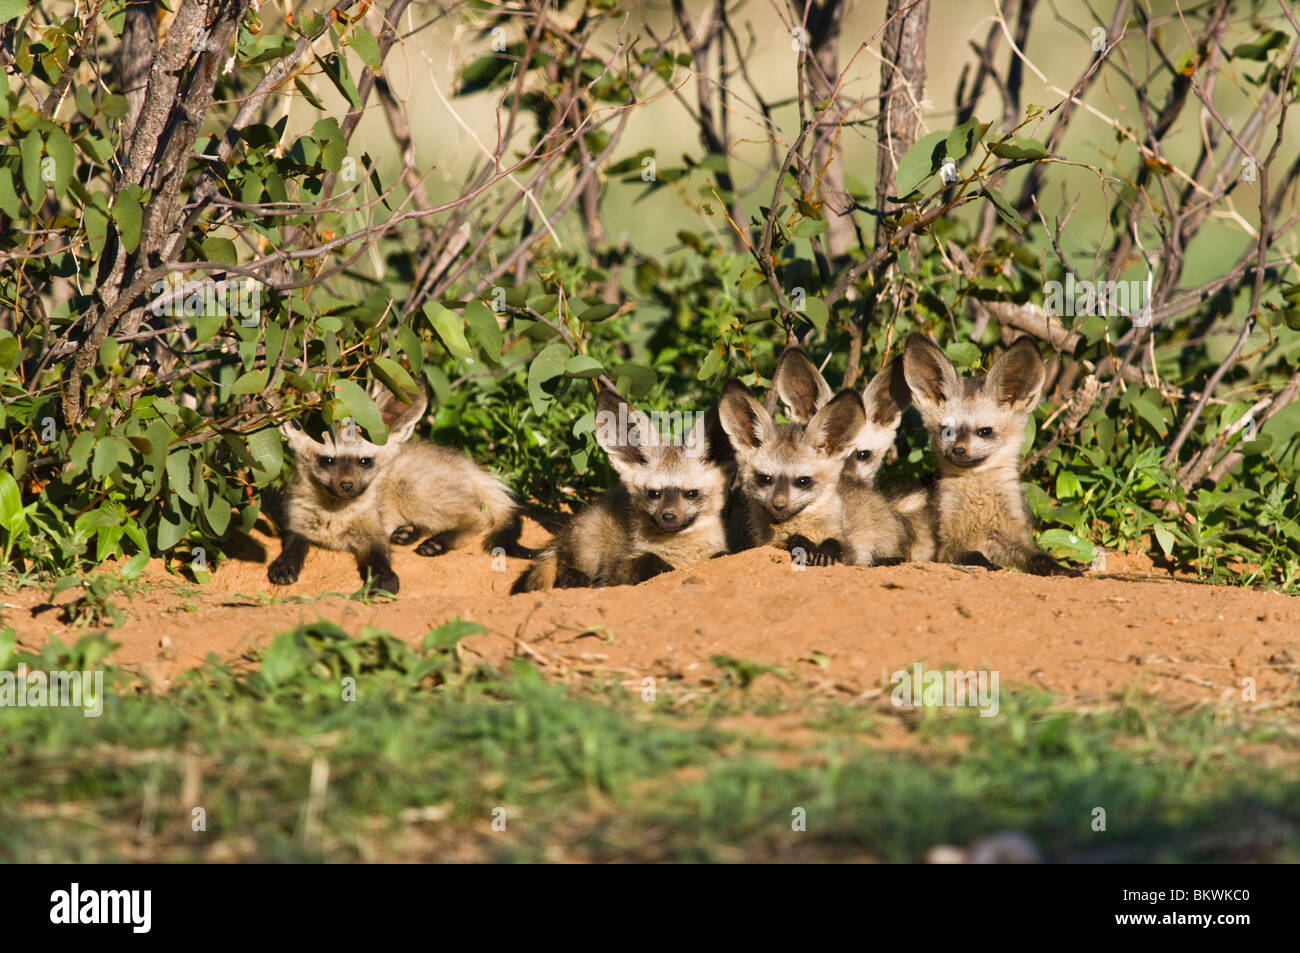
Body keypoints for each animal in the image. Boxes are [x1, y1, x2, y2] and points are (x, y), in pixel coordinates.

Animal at [269, 384, 531, 594]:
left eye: (364, 461)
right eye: (328, 460)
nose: (347, 485)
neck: (334, 518)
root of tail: (466, 463)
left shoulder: (373, 533)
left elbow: (380, 557)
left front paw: (384, 579)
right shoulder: (296, 524)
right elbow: (293, 546)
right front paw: (285, 565)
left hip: (412, 490)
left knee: (480, 518)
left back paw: (437, 543)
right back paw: (408, 533)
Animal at [511, 389, 730, 593]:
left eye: (691, 493)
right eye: (654, 493)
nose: (668, 516)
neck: (683, 554)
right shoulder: (618, 571)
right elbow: (651, 561)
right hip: (587, 544)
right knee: (566, 565)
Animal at [717, 376, 866, 566]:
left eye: (803, 481)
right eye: (765, 478)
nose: (778, 505)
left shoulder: (852, 550)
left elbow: (838, 545)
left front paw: (826, 551)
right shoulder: (764, 544)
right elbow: (787, 541)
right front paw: (801, 543)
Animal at [901, 332, 1078, 576]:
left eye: (984, 431)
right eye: (947, 431)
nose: (958, 450)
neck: (980, 506)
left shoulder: (1012, 537)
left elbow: (1041, 558)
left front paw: (1064, 569)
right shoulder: (949, 546)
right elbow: (977, 556)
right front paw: (992, 566)